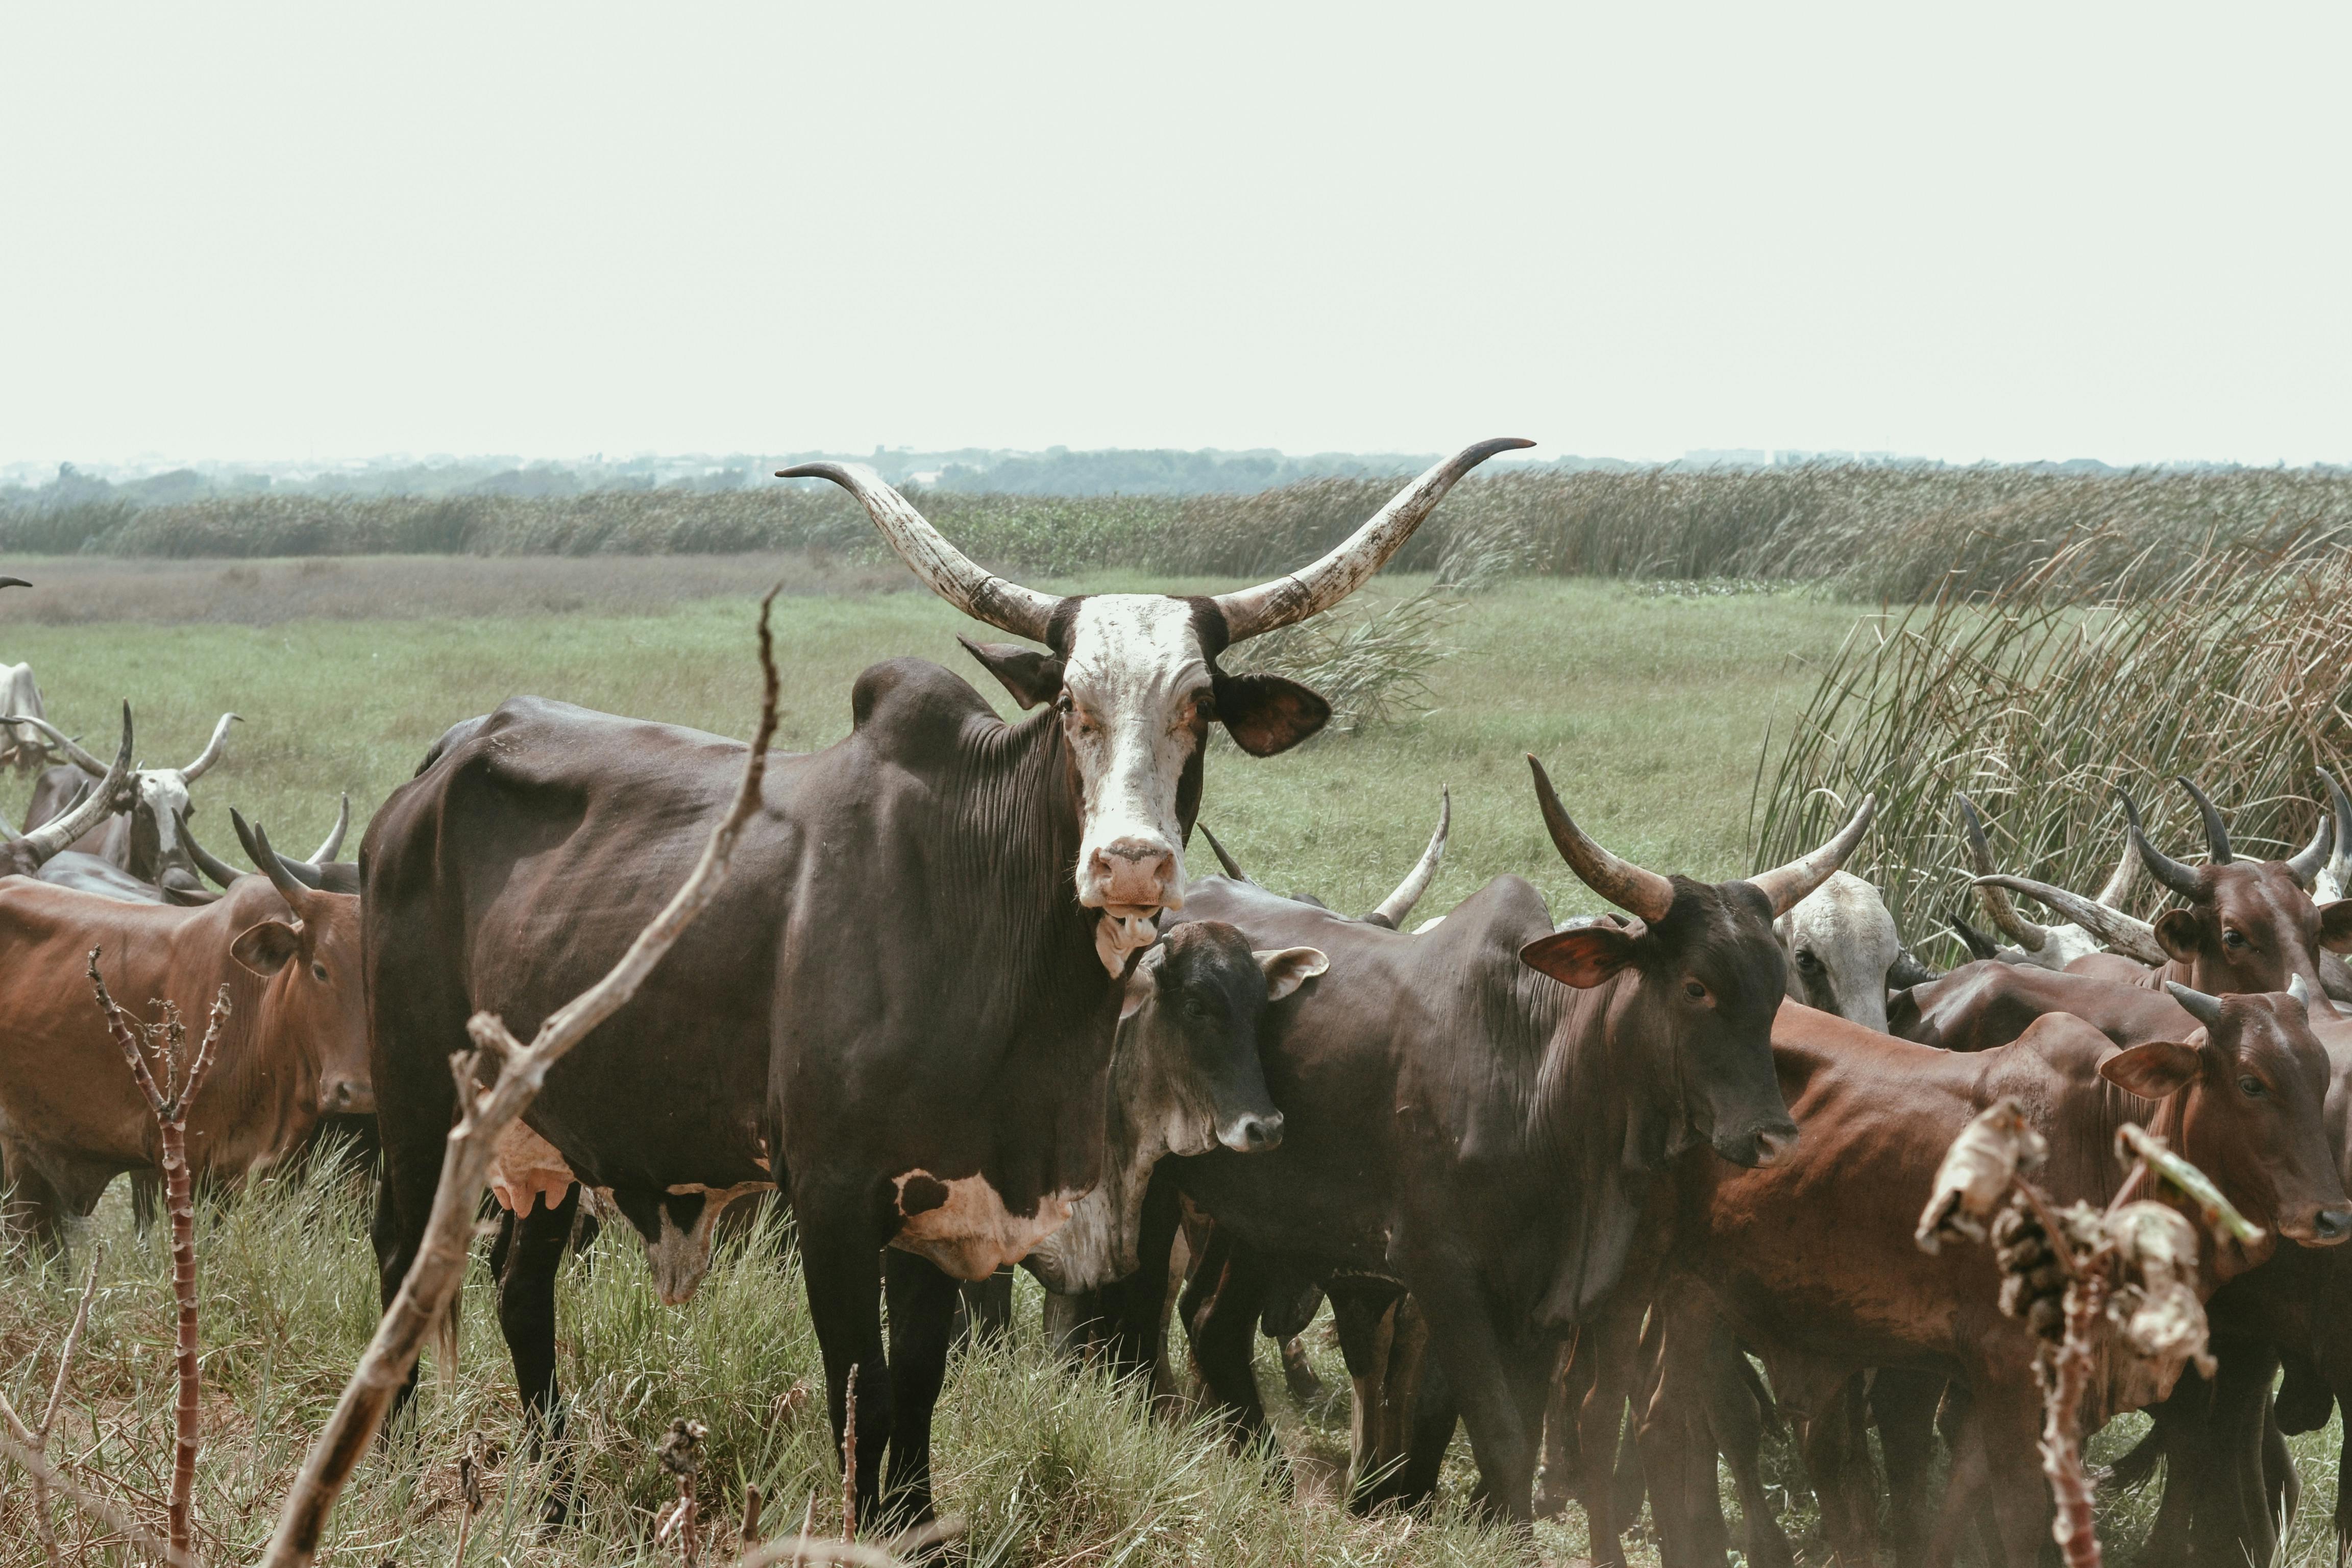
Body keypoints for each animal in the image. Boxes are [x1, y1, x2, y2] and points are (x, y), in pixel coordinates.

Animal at [362, 438, 1529, 1529]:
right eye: (1070, 704)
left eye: (1198, 704)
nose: (1131, 863)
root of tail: (439, 765)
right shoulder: (832, 1201)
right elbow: (861, 1393)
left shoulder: (945, 1216)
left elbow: (916, 1395)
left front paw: (908, 1527)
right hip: (420, 1105)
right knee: (399, 1258)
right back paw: (387, 1468)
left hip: (549, 1136)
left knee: (522, 1290)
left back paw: (557, 1496)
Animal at [1100, 758, 1870, 1521]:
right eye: (1695, 987)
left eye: (1777, 986)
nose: (1773, 1136)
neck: (1536, 1070)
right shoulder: (1439, 1271)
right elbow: (1496, 1430)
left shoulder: (1542, 1298)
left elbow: (1519, 1432)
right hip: (1165, 1190)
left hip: (1262, 1216)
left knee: (1212, 1323)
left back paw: (1270, 1476)